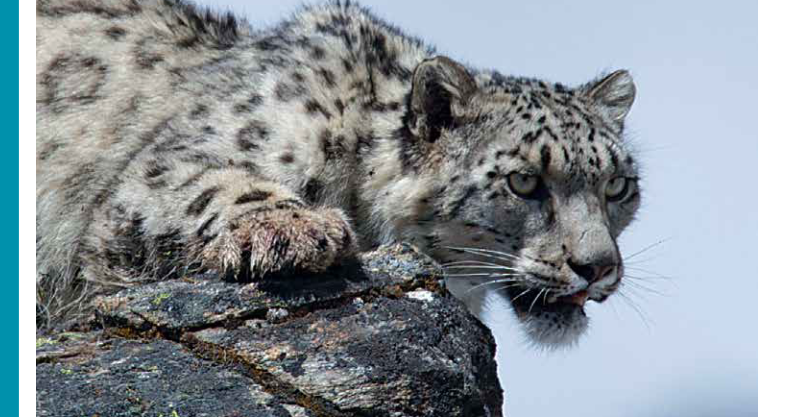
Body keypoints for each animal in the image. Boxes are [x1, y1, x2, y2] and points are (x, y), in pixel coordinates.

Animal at [36, 0, 641, 347]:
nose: (597, 268)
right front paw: (294, 229)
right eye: (524, 181)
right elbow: (210, 183)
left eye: (618, 187)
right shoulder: (155, 177)